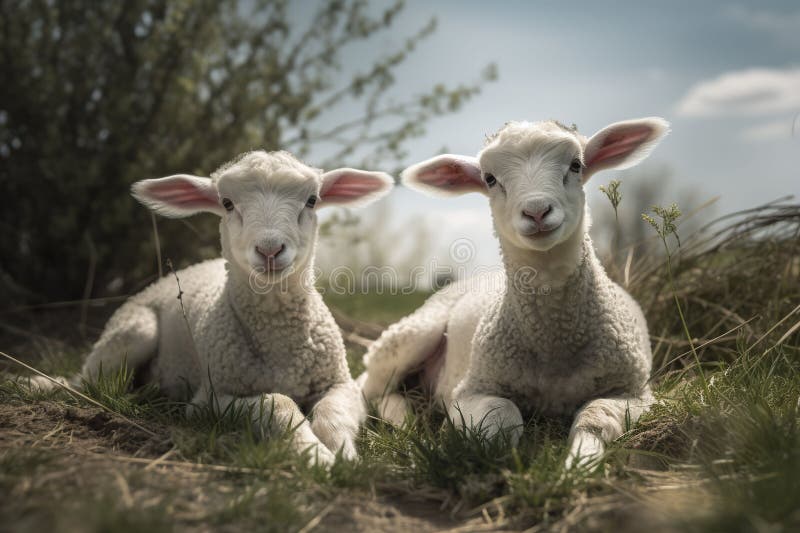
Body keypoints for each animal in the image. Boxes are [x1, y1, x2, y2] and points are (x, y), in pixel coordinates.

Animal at [30, 150, 394, 466]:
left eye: (312, 200)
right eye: (227, 203)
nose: (270, 250)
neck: (279, 345)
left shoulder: (341, 382)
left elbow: (334, 414)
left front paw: (343, 454)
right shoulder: (209, 399)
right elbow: (277, 403)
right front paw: (315, 455)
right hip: (132, 332)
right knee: (85, 382)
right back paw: (43, 384)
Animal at [359, 117, 669, 468]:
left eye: (576, 165)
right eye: (490, 179)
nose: (536, 211)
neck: (554, 340)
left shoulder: (634, 391)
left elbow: (595, 417)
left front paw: (578, 464)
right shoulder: (471, 389)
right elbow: (502, 417)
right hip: (413, 333)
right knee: (371, 389)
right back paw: (403, 420)